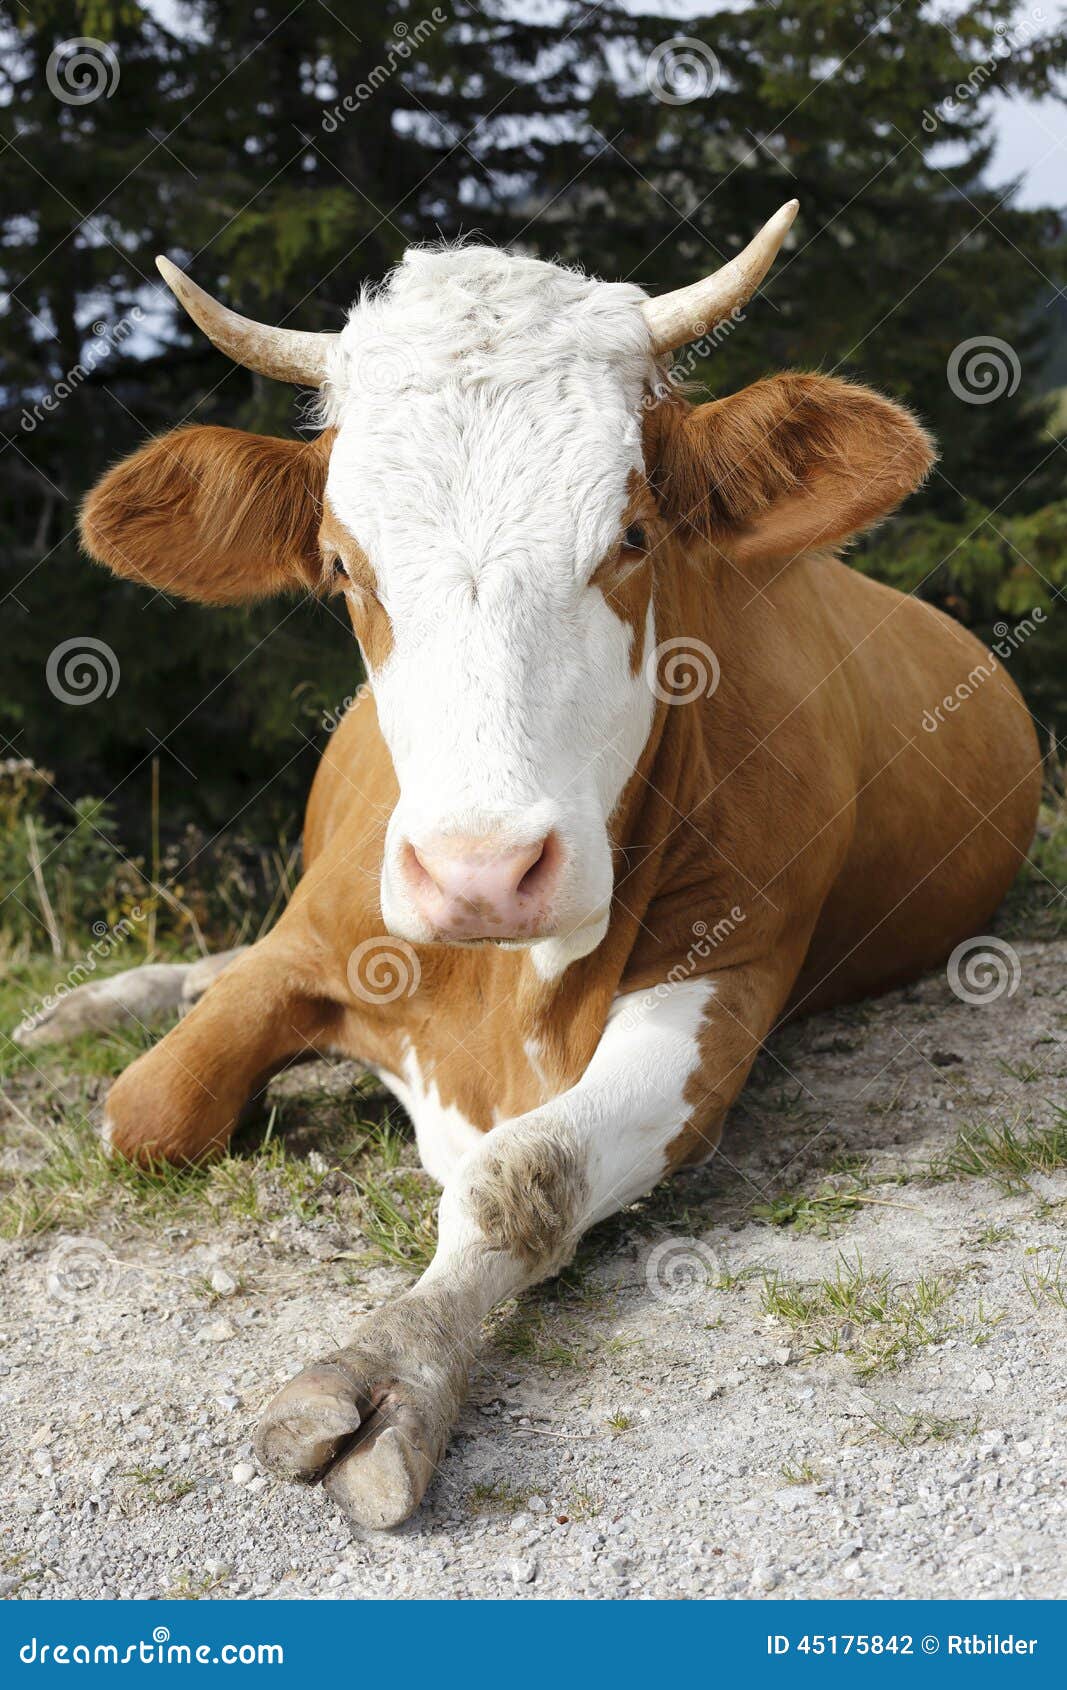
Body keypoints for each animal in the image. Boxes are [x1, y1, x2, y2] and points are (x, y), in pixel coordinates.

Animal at [72, 202, 1040, 1530]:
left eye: (631, 536)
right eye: (342, 565)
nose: (480, 871)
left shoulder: (724, 983)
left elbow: (514, 1178)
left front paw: (385, 1373)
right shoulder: (316, 936)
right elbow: (151, 1108)